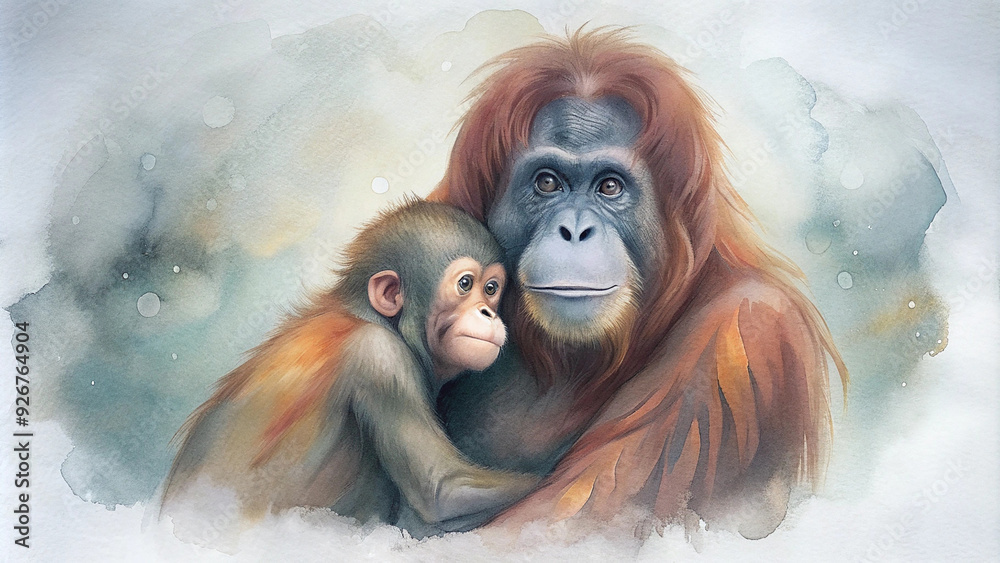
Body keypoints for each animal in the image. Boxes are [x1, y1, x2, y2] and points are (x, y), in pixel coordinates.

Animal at [159, 198, 540, 543]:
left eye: (490, 289)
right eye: (464, 284)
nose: (487, 312)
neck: (375, 318)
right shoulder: (381, 358)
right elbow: (442, 488)